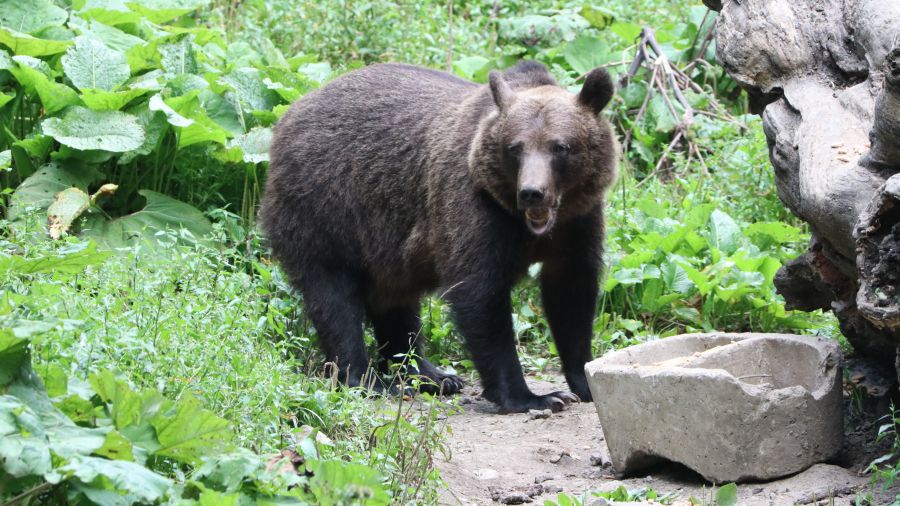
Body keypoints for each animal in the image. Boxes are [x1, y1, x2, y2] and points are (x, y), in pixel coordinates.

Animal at [260, 60, 618, 413]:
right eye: (515, 148)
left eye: (560, 147)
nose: (532, 193)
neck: (527, 225)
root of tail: (287, 117)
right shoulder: (475, 209)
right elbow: (481, 295)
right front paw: (533, 397)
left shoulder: (578, 223)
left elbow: (571, 294)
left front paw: (585, 381)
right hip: (327, 211)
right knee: (334, 299)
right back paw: (369, 380)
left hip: (387, 246)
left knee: (397, 306)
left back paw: (431, 375)